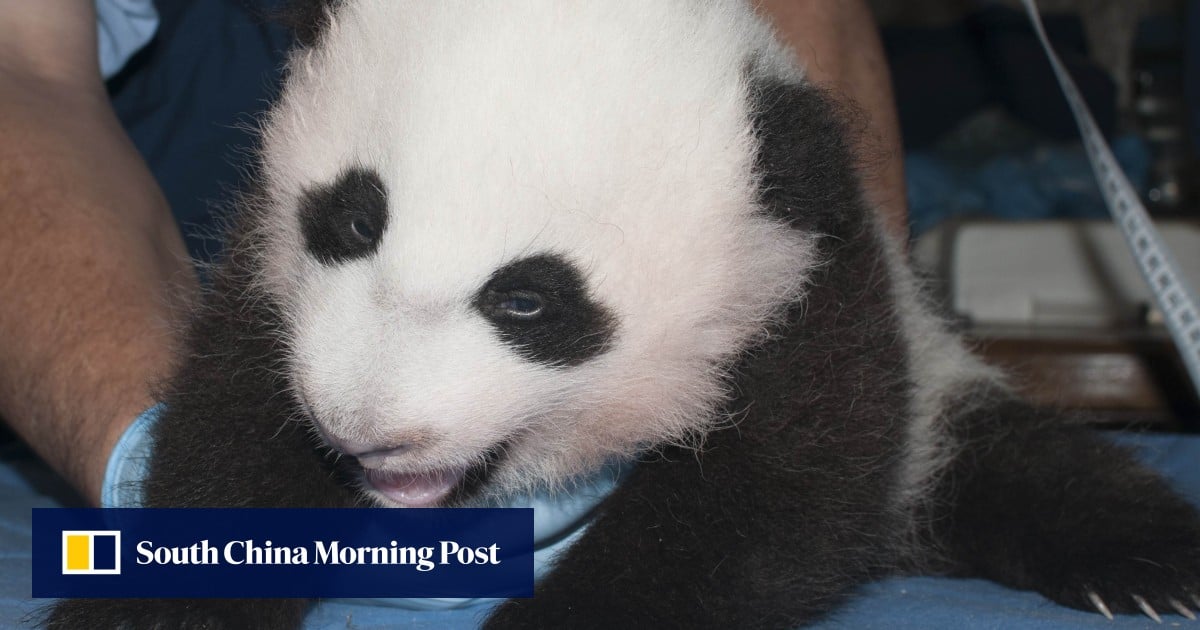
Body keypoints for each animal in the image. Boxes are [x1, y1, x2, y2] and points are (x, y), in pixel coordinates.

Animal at [48, 0, 1200, 628]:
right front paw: (160, 602)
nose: (367, 432)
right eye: (350, 218)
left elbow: (775, 503)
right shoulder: (274, 284)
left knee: (1010, 462)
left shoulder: (811, 292)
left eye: (528, 300)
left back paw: (1148, 566)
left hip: (939, 387)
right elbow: (234, 422)